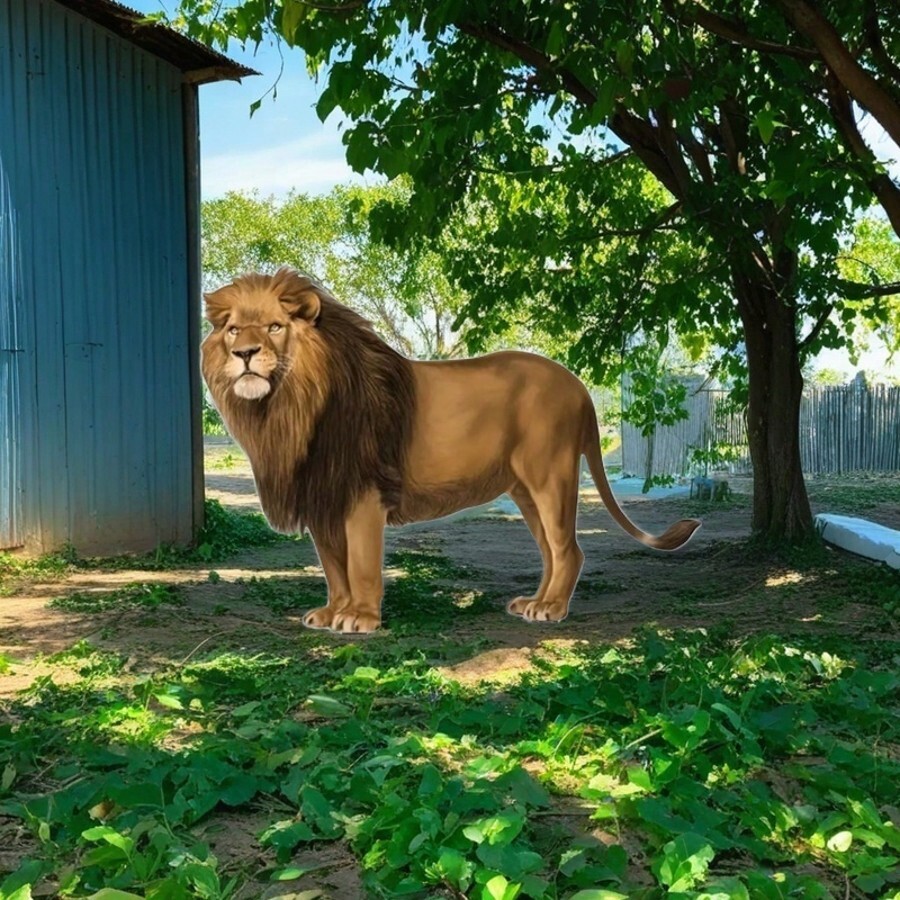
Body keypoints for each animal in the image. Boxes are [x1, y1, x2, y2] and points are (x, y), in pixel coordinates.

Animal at [201, 267, 700, 633]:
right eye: (233, 330)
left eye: (274, 326)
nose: (245, 353)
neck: (289, 407)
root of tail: (578, 385)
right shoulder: (323, 494)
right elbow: (333, 565)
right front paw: (331, 612)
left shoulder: (363, 494)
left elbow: (360, 563)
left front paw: (360, 618)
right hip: (525, 490)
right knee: (549, 551)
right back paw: (534, 602)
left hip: (550, 475)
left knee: (569, 549)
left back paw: (553, 609)